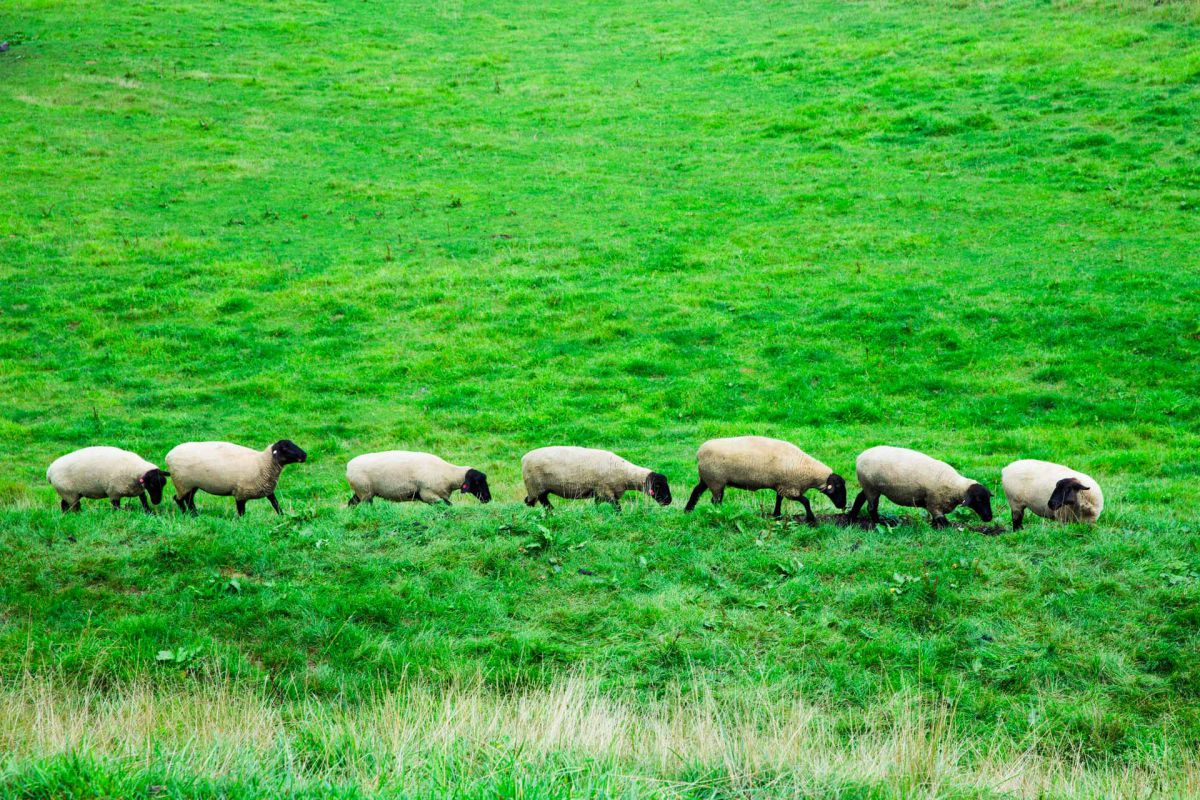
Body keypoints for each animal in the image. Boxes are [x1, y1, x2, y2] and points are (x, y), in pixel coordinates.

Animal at [165, 439, 307, 516]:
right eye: (285, 448)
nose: (304, 455)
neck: (262, 463)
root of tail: (169, 455)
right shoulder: (241, 494)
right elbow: (241, 513)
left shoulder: (267, 489)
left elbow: (275, 504)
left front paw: (282, 517)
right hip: (182, 483)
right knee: (179, 499)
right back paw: (187, 514)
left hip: (192, 484)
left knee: (189, 499)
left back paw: (195, 515)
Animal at [346, 451, 491, 506]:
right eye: (477, 482)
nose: (488, 498)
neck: (450, 475)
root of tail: (348, 467)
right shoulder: (429, 494)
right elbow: (448, 506)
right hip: (365, 491)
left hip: (361, 492)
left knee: (352, 503)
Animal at [521, 446, 671, 510]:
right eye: (658, 486)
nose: (668, 501)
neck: (625, 474)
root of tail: (524, 458)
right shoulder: (606, 490)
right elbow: (617, 507)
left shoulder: (599, 492)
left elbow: (597, 504)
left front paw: (596, 512)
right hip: (534, 486)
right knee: (531, 502)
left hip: (539, 488)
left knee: (540, 501)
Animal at [683, 436, 847, 523]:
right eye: (838, 488)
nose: (843, 505)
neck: (809, 470)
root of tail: (699, 453)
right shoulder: (790, 488)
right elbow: (806, 501)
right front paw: (811, 518)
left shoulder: (782, 486)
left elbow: (778, 499)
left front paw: (777, 514)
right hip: (716, 480)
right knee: (715, 500)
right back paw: (719, 512)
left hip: (707, 478)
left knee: (696, 492)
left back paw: (688, 510)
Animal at [849, 445, 992, 528]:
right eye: (979, 500)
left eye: (988, 498)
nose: (989, 518)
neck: (956, 486)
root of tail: (859, 457)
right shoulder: (934, 504)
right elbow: (943, 522)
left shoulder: (935, 505)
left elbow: (936, 520)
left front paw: (933, 527)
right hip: (871, 487)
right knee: (871, 507)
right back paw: (880, 523)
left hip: (869, 486)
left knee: (860, 498)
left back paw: (852, 517)